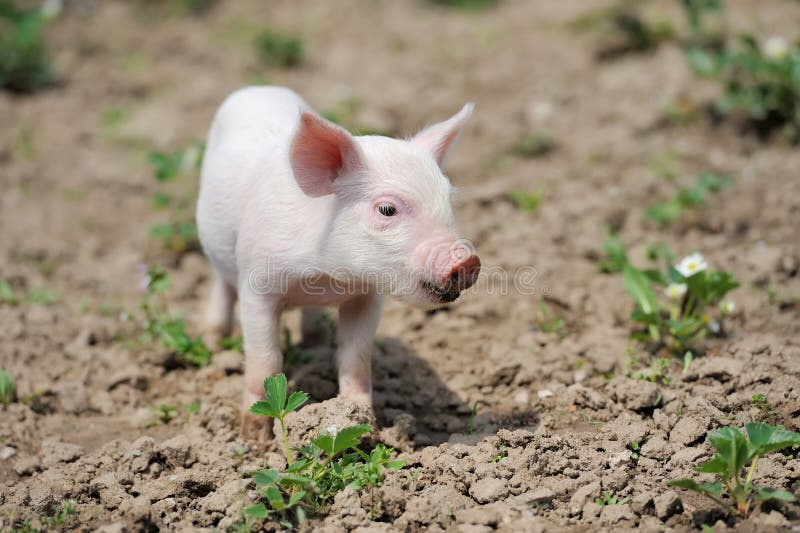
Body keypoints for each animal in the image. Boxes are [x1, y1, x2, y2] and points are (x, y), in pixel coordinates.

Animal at [196, 86, 481, 437]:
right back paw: (212, 342)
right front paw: (254, 437)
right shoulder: (256, 285)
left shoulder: (367, 297)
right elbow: (265, 359)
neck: (327, 277)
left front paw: (363, 424)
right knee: (221, 287)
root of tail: (255, 88)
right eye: (387, 209)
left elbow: (356, 357)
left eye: (448, 202)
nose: (467, 260)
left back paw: (315, 341)